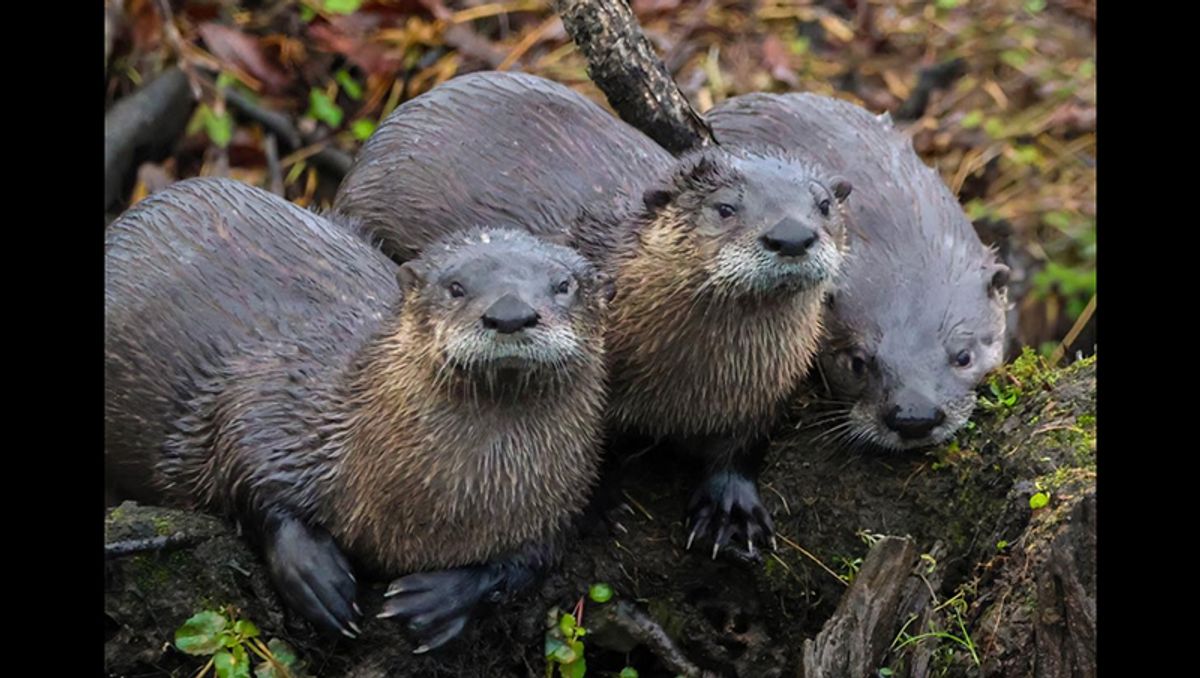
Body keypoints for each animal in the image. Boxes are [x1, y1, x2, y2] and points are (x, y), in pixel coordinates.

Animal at [105, 177, 613, 651]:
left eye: (563, 286)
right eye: (455, 287)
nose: (510, 312)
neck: (445, 504)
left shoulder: (558, 505)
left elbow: (530, 561)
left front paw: (442, 599)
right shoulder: (276, 401)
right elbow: (247, 467)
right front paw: (315, 577)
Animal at [334, 71, 852, 559]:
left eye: (824, 205)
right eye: (724, 208)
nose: (791, 235)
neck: (695, 383)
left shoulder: (770, 386)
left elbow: (745, 445)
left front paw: (731, 509)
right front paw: (596, 509)